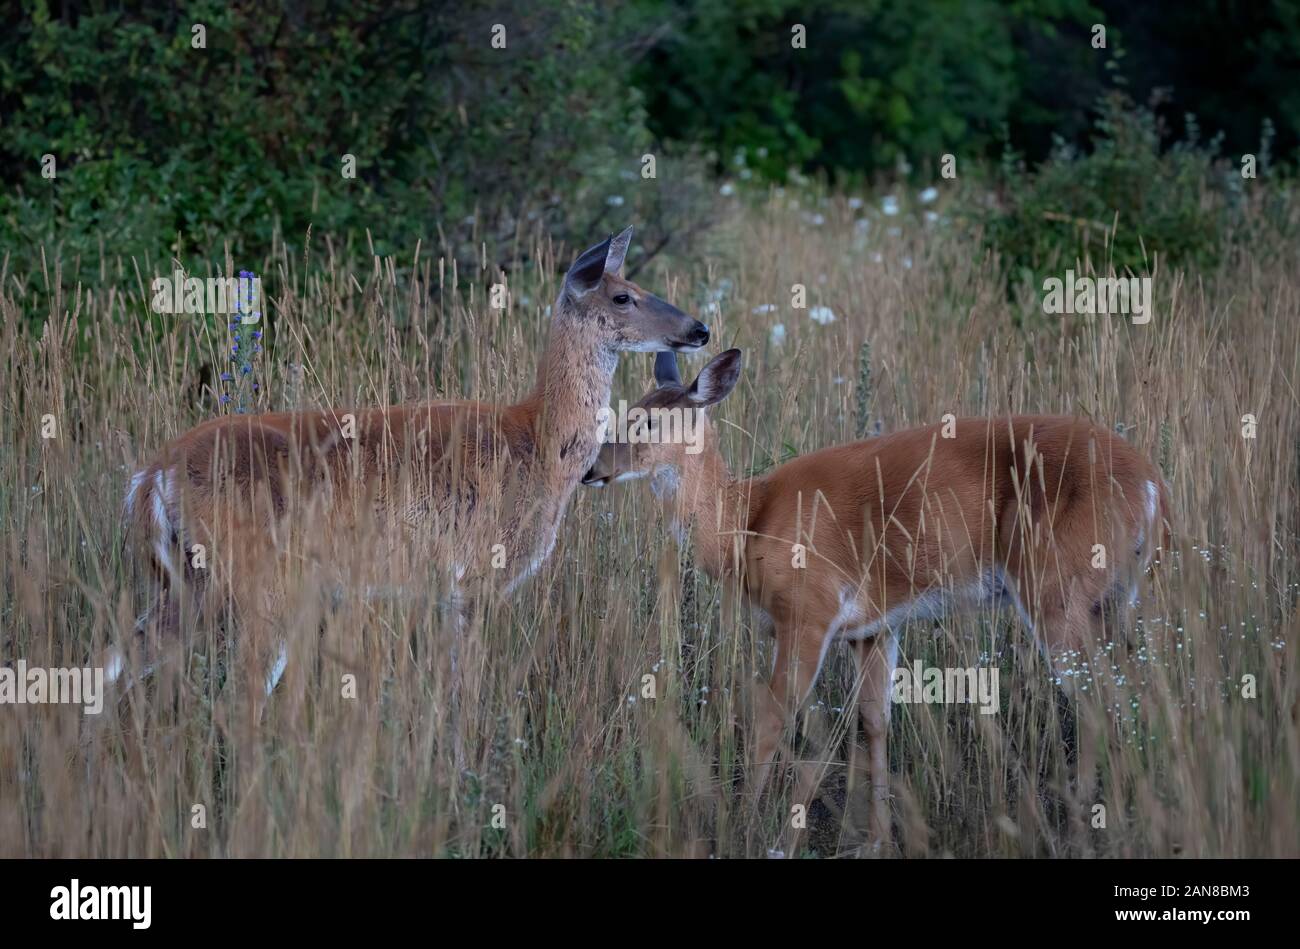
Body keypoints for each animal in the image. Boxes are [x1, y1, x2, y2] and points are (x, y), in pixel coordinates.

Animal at [115, 226, 710, 701]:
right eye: (623, 296)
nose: (698, 329)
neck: (537, 441)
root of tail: (152, 474)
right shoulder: (476, 575)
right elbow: (463, 691)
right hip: (259, 577)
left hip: (188, 579)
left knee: (126, 651)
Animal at [581, 348, 1169, 847]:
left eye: (650, 421)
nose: (591, 470)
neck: (748, 523)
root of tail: (1151, 484)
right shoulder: (873, 627)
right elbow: (875, 723)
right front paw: (880, 838)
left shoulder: (808, 612)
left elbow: (772, 718)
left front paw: (744, 827)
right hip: (1110, 601)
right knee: (1133, 689)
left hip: (1056, 591)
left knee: (1103, 699)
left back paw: (1093, 822)